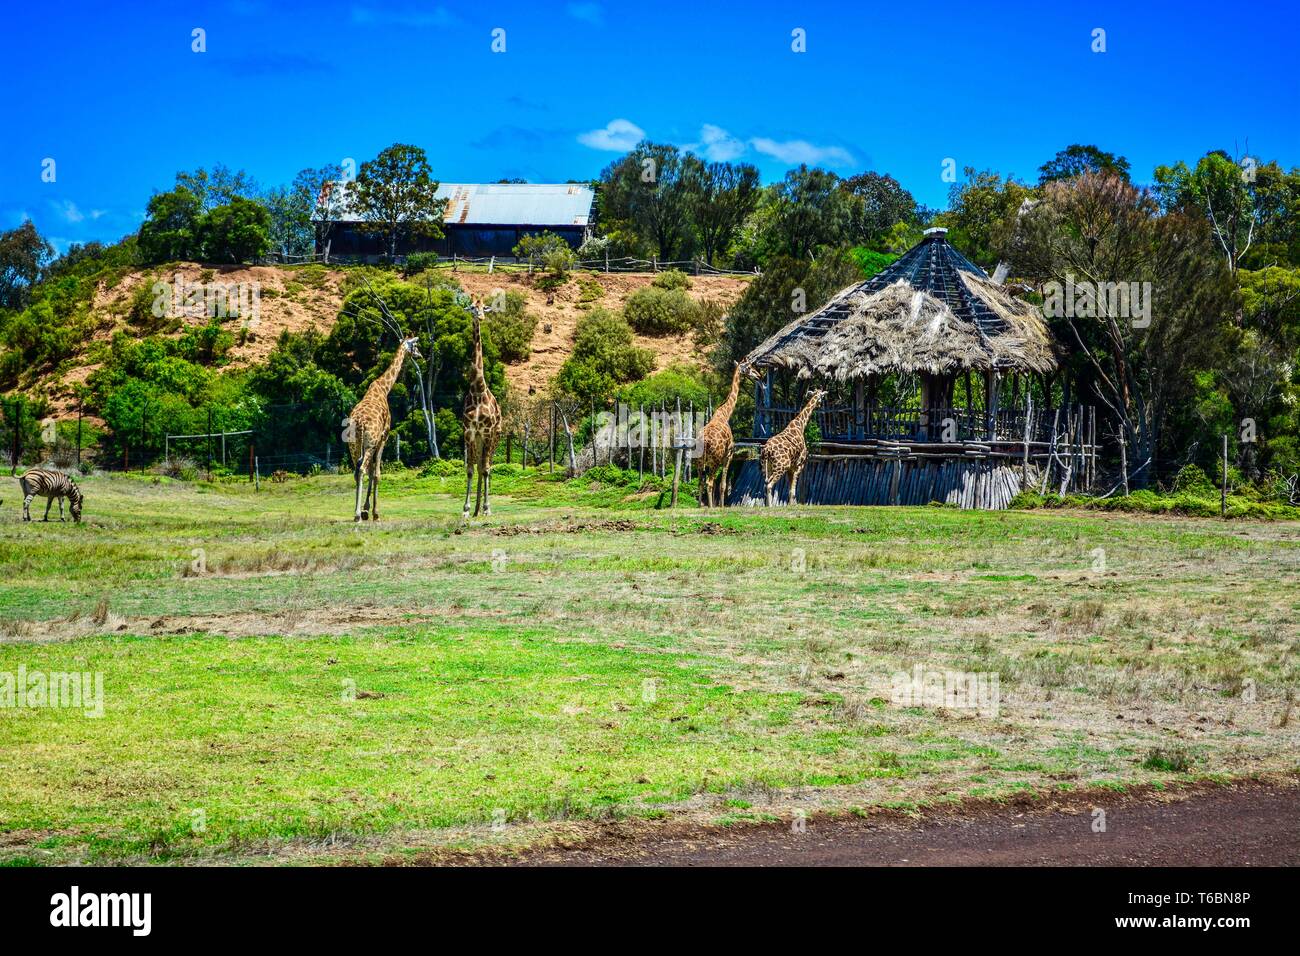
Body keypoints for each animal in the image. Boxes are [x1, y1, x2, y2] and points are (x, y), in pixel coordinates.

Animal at [346, 336, 421, 521]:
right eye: (416, 345)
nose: (420, 355)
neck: (384, 388)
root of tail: (359, 423)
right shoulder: (383, 437)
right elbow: (377, 473)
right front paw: (374, 512)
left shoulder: (374, 443)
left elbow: (372, 471)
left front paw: (366, 509)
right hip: (369, 443)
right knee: (362, 469)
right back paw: (357, 515)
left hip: (354, 446)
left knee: (357, 470)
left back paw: (356, 512)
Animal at [696, 361, 748, 508]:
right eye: (748, 367)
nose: (758, 374)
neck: (724, 414)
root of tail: (705, 441)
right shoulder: (728, 455)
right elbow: (723, 485)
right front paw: (722, 506)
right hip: (715, 460)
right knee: (709, 483)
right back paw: (711, 507)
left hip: (700, 460)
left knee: (701, 482)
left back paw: (700, 506)